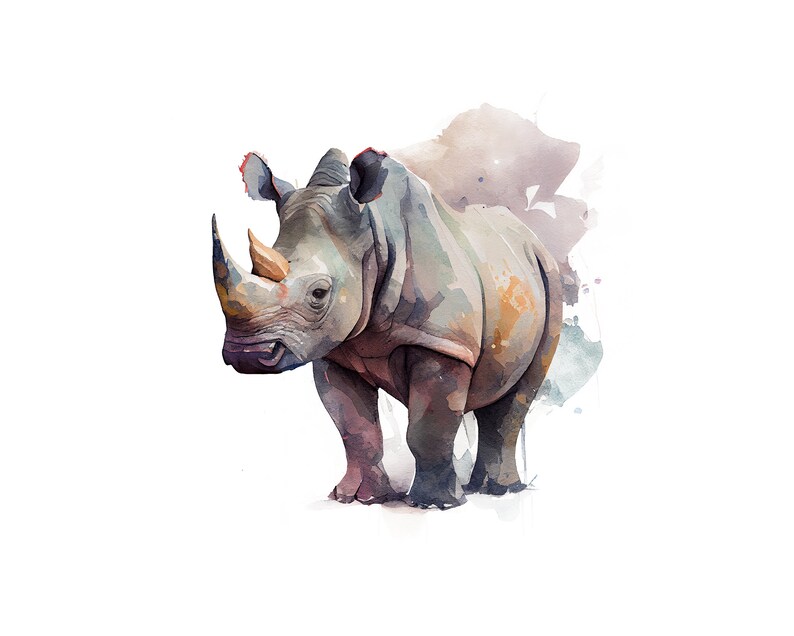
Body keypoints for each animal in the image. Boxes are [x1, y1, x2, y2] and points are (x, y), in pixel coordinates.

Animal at [212, 147, 562, 509]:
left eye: (319, 293)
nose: (246, 355)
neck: (373, 234)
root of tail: (530, 239)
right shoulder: (335, 349)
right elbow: (355, 428)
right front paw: (357, 498)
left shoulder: (442, 343)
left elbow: (427, 430)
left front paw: (436, 504)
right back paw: (481, 486)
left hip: (549, 276)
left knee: (520, 393)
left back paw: (501, 490)